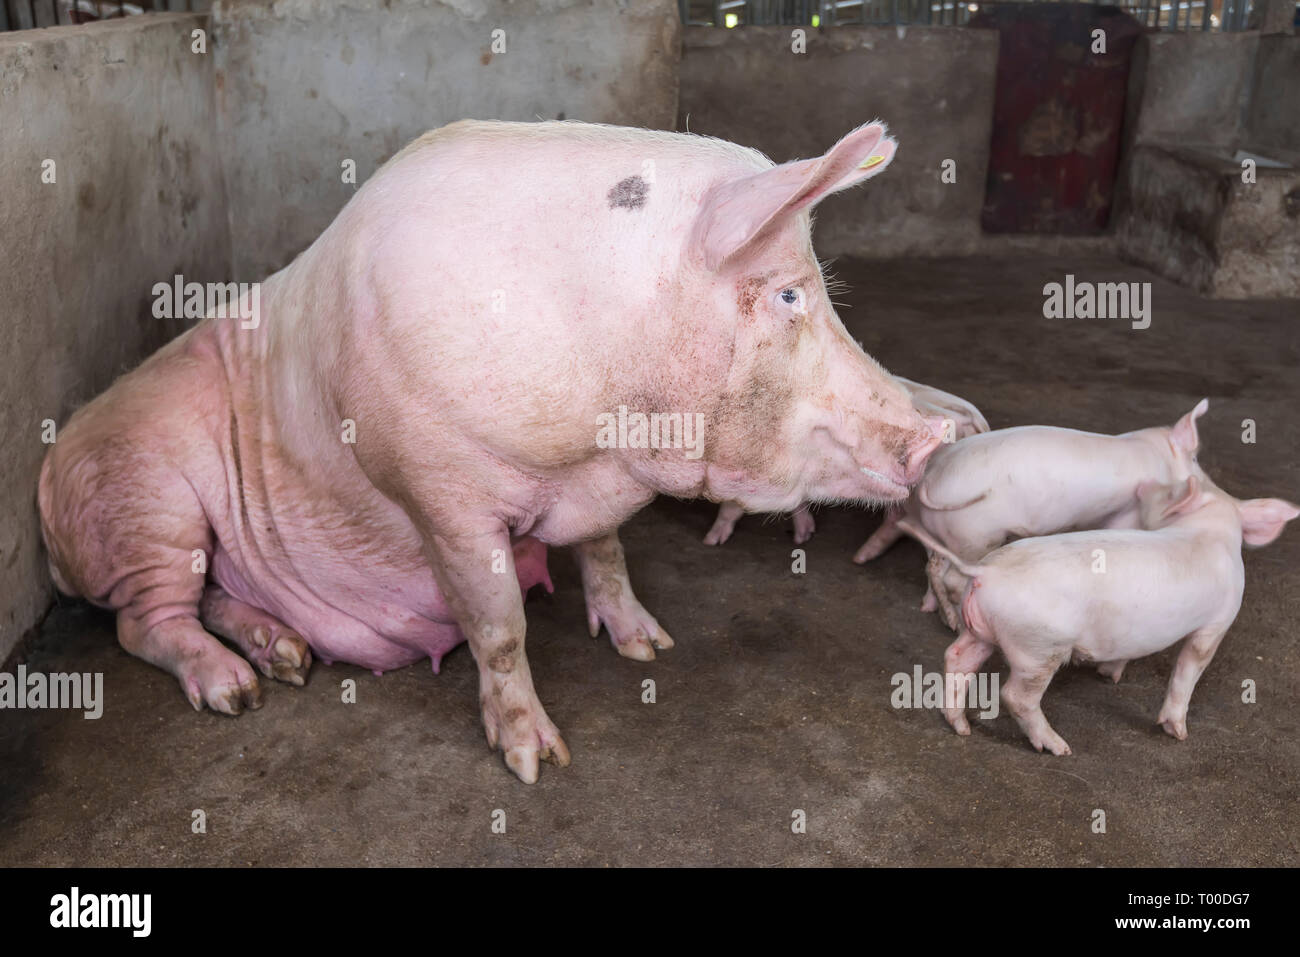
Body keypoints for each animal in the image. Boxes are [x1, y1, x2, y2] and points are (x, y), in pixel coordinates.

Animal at [38, 119, 943, 782]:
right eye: (790, 294)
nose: (937, 433)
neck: (604, 434)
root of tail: (47, 478)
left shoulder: (592, 484)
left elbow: (607, 553)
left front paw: (649, 646)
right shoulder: (440, 491)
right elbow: (499, 624)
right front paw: (538, 762)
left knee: (212, 597)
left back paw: (286, 658)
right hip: (143, 500)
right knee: (146, 622)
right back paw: (237, 692)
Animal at [856, 400, 1209, 629]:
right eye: (1194, 459)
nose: (1208, 482)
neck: (1156, 455)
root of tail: (932, 479)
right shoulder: (1125, 511)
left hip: (946, 529)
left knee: (933, 566)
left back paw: (935, 612)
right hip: (976, 533)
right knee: (951, 575)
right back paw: (956, 624)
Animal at [898, 475, 1298, 754]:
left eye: (1167, 490)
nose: (1144, 483)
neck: (1209, 530)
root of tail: (985, 571)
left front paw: (1110, 674)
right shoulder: (1217, 622)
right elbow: (1189, 670)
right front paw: (1178, 733)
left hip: (983, 629)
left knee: (957, 657)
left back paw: (960, 726)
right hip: (1038, 646)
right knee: (1015, 695)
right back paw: (1059, 748)